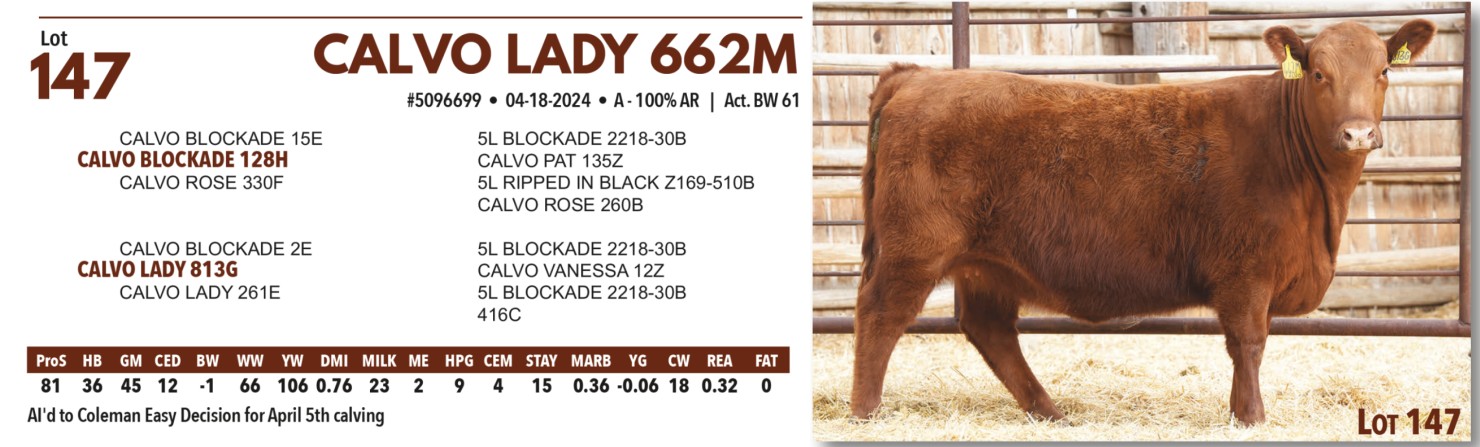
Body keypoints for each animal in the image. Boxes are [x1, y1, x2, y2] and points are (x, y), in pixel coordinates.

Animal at [851, 19, 1438, 426]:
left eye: (1384, 71)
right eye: (1319, 73)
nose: (1357, 133)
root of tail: (918, 77)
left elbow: (1245, 346)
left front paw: (1239, 413)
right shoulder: (1245, 270)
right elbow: (1248, 342)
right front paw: (1252, 417)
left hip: (985, 262)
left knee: (989, 328)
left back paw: (1049, 411)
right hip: (914, 248)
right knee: (880, 314)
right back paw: (865, 412)